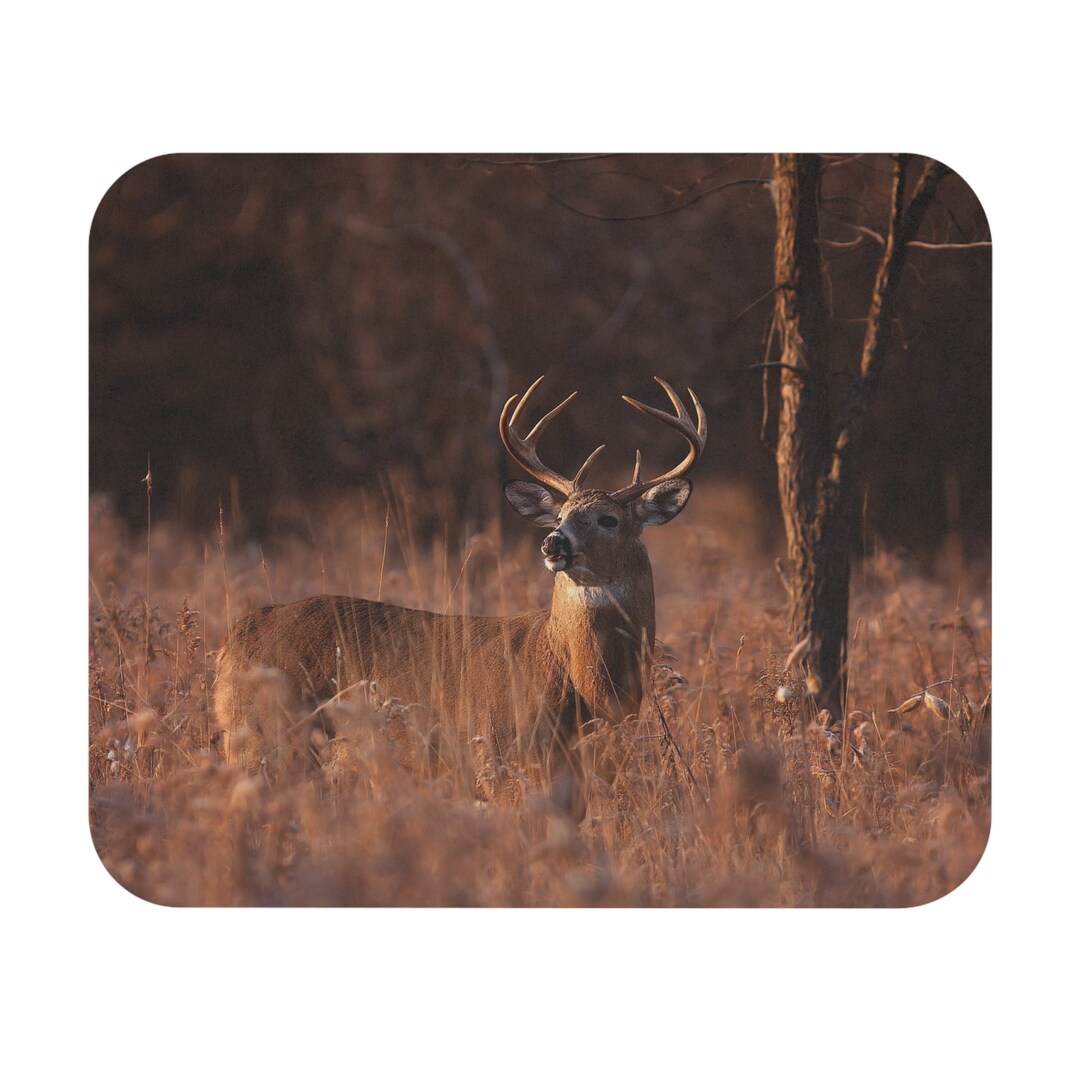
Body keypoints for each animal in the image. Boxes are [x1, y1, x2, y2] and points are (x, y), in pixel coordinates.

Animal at [213, 376, 706, 816]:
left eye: (609, 519)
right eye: (560, 515)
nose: (553, 543)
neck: (584, 689)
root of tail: (233, 639)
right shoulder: (501, 762)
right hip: (267, 738)